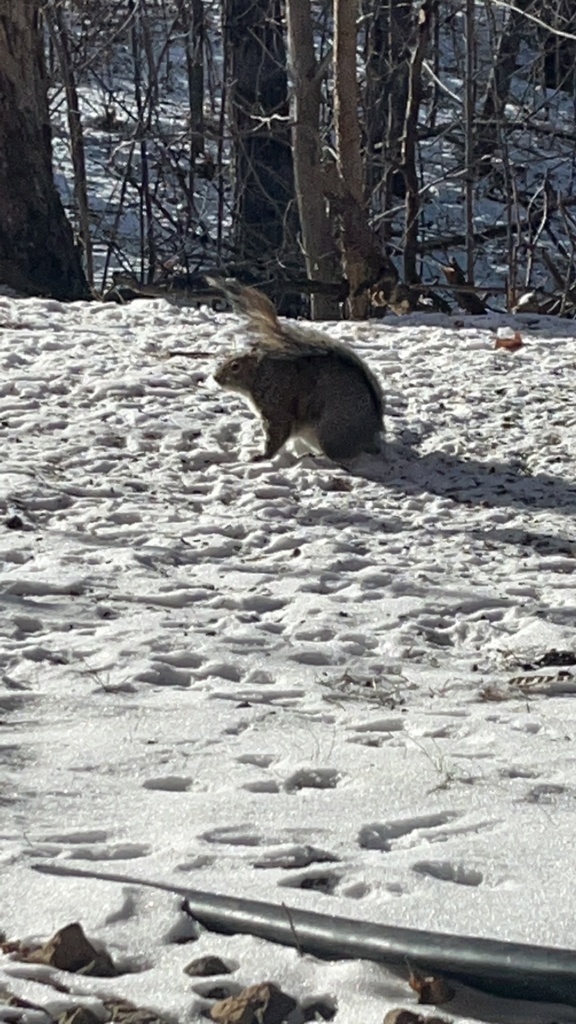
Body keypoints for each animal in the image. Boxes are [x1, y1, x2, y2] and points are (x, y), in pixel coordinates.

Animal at [211, 278, 384, 463]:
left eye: (235, 366)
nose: (216, 377)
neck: (261, 376)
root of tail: (370, 437)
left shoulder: (276, 408)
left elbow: (277, 434)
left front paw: (262, 456)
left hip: (329, 432)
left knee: (341, 456)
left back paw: (317, 456)